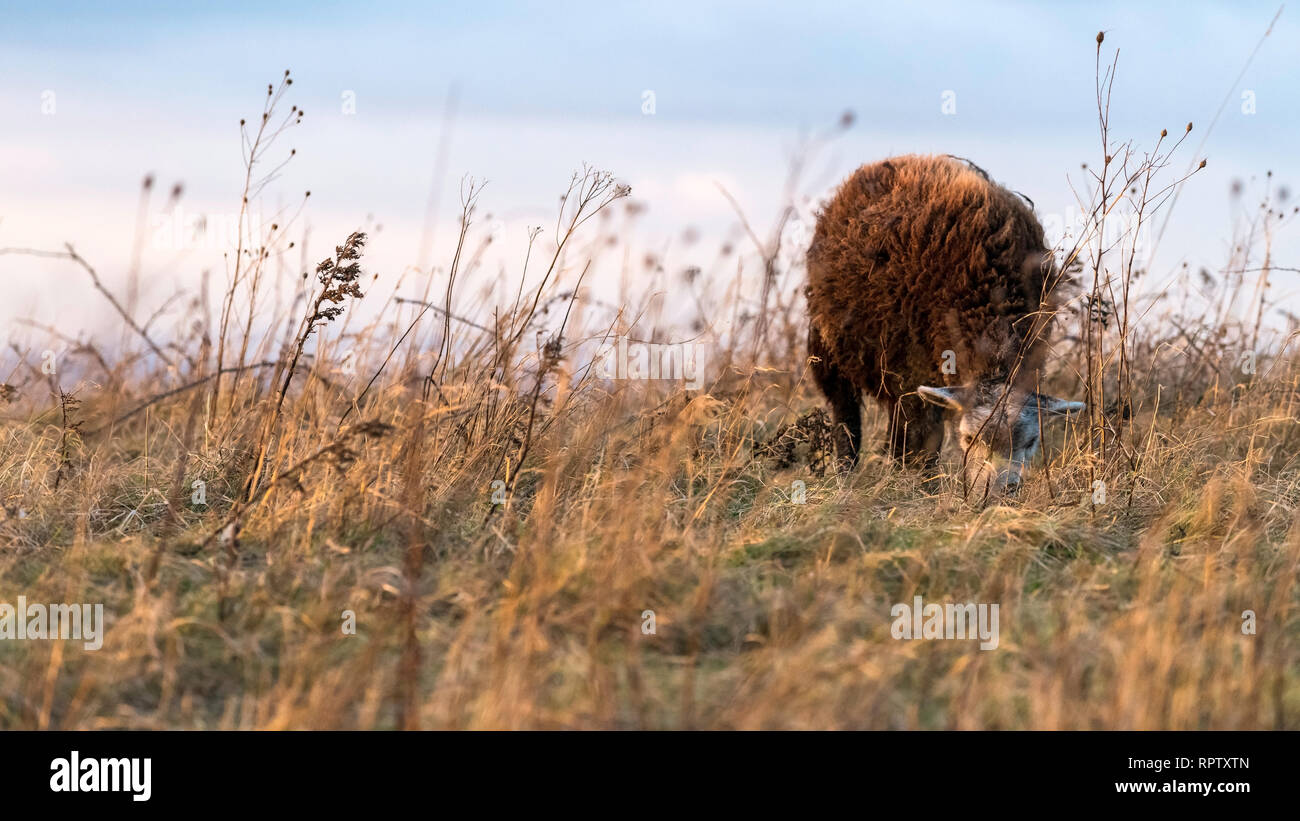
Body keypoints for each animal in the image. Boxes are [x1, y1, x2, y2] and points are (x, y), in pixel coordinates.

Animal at [804, 154, 1082, 492]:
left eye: (1030, 442)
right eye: (967, 437)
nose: (996, 495)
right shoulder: (910, 366)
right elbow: (922, 436)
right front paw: (918, 484)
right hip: (831, 347)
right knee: (846, 413)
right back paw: (847, 473)